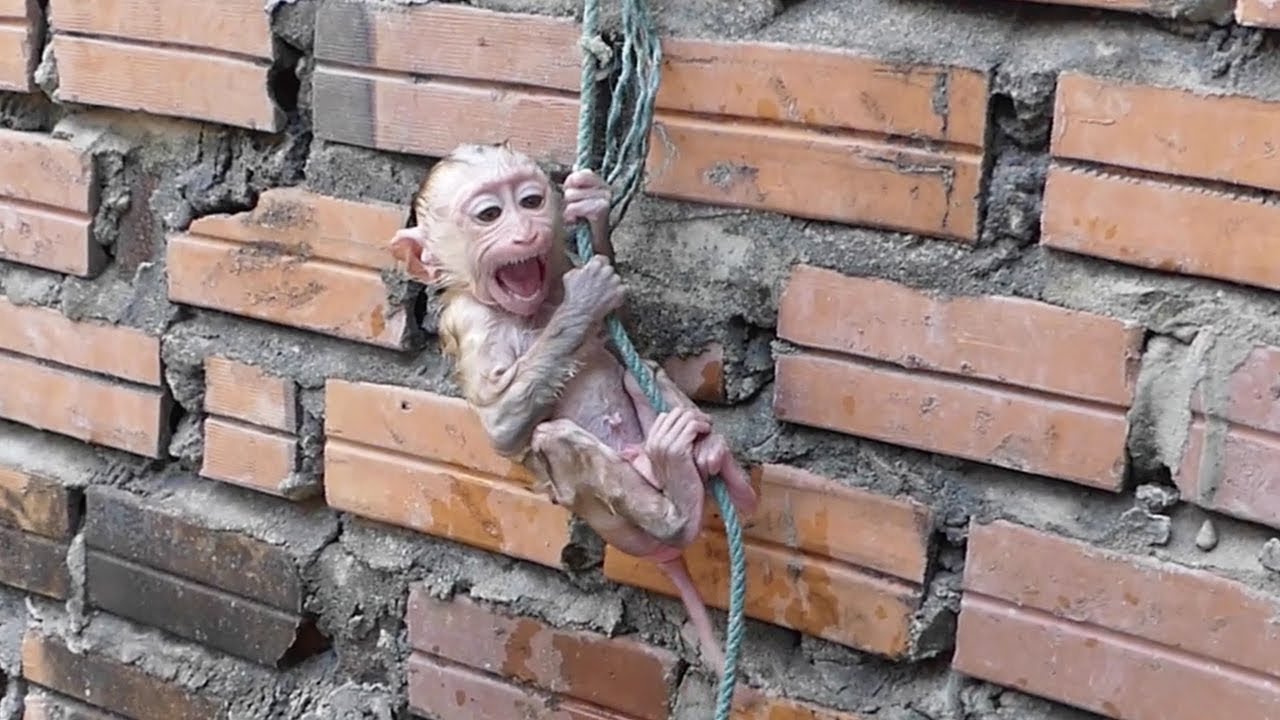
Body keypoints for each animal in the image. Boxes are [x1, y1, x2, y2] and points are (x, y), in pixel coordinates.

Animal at [389, 142, 758, 674]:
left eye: (531, 200)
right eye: (490, 214)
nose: (529, 230)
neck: (523, 309)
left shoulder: (558, 266)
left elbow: (619, 320)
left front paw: (593, 205)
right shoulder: (471, 321)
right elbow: (502, 428)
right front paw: (584, 301)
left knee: (638, 372)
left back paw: (716, 461)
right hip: (615, 520)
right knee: (558, 439)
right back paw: (678, 493)